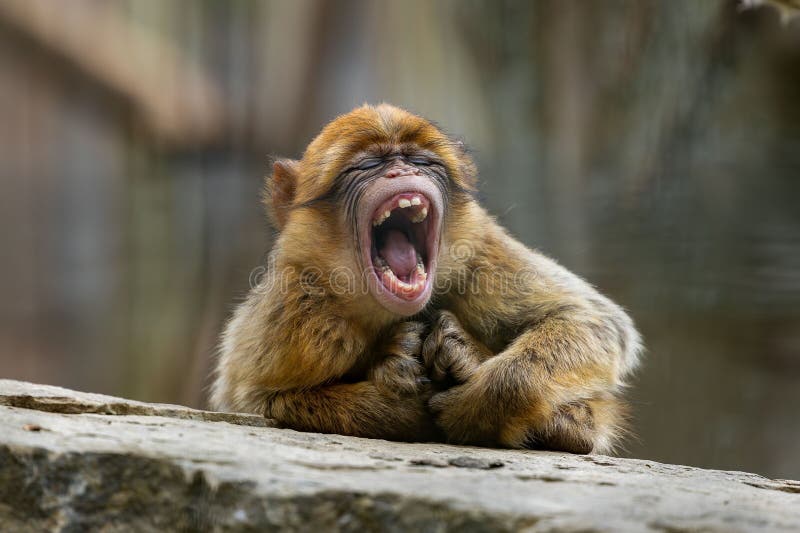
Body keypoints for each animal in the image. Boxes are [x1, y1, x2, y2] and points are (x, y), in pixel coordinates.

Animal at [210, 103, 642, 454]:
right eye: (367, 166)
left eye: (420, 160)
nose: (402, 170)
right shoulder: (296, 315)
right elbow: (254, 400)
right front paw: (396, 401)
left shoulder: (482, 258)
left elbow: (593, 320)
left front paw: (482, 403)